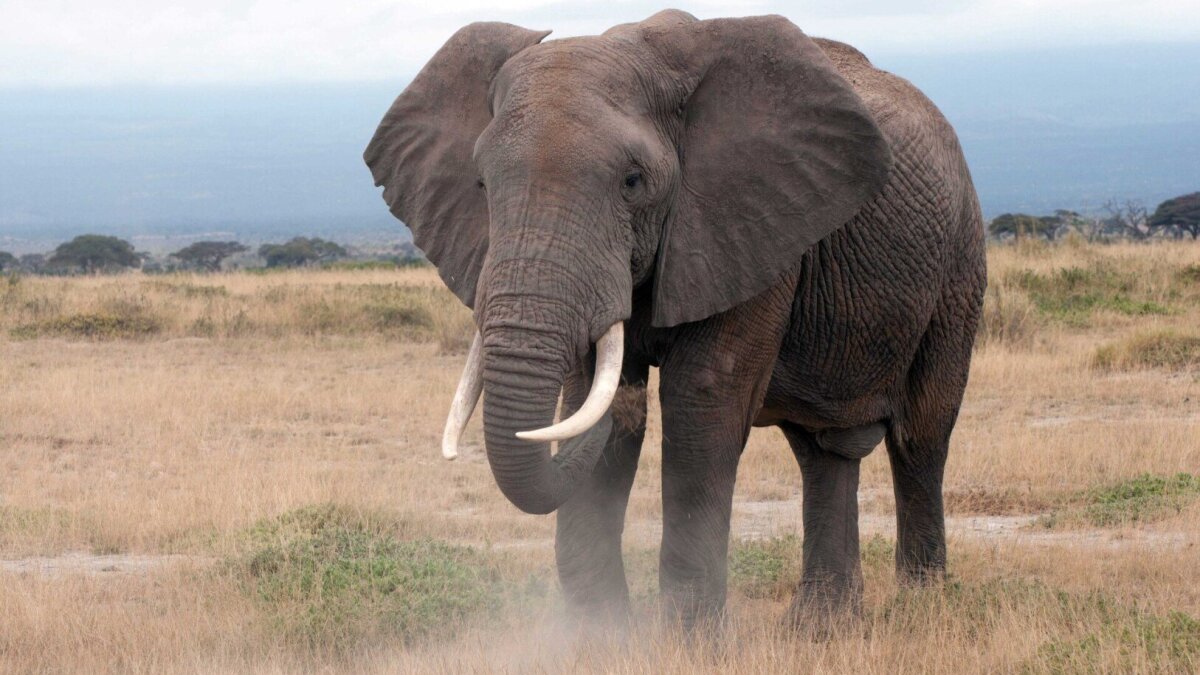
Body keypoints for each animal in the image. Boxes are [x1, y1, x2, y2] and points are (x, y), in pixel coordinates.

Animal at [365, 10, 986, 630]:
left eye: (632, 181)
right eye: (481, 184)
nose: (628, 397)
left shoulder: (747, 220)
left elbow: (702, 400)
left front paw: (690, 639)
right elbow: (594, 399)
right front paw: (603, 638)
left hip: (959, 260)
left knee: (921, 435)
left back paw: (922, 607)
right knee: (820, 450)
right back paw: (819, 629)